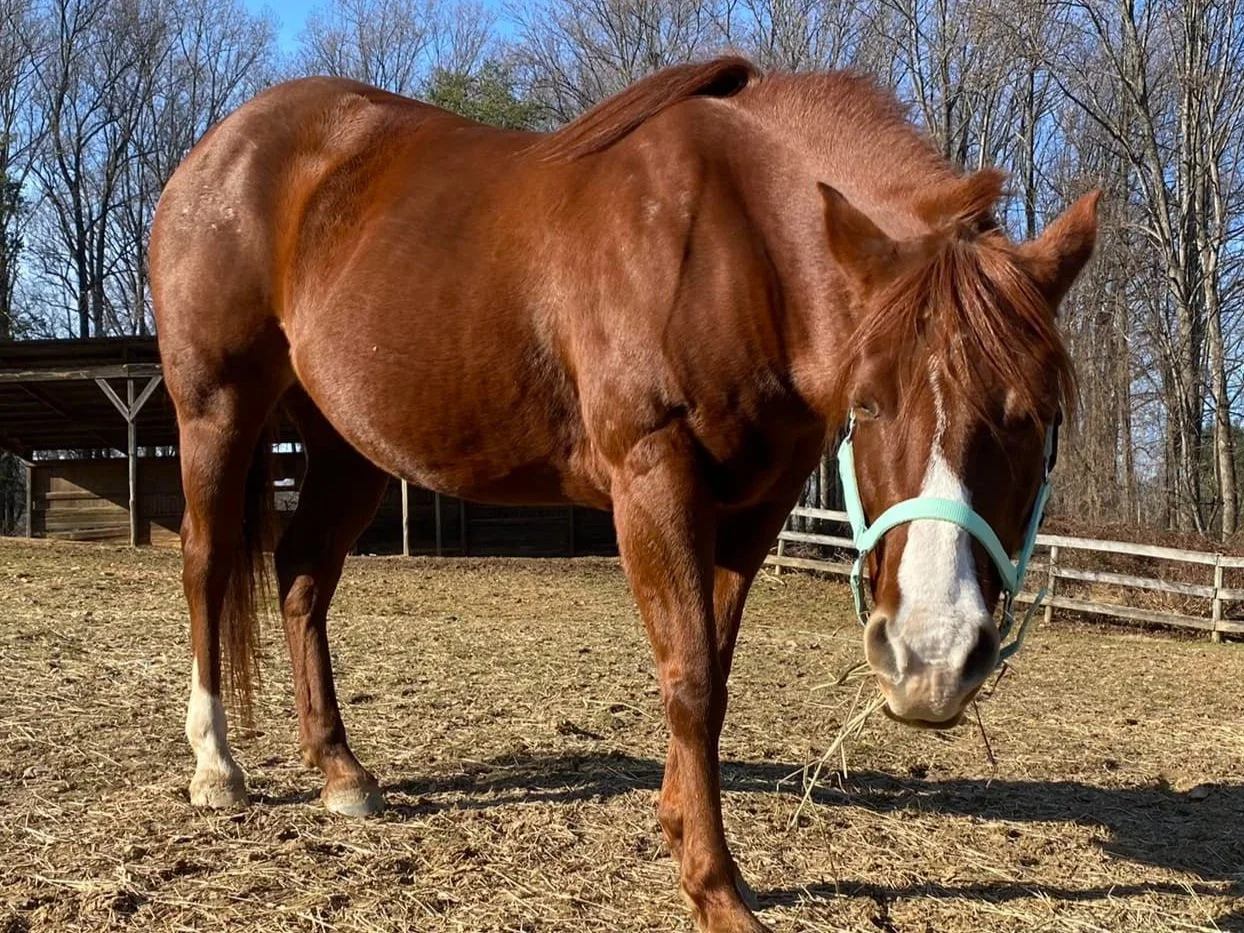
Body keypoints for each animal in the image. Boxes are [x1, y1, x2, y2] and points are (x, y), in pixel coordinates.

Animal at [150, 56, 1097, 933]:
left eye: (1040, 415)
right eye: (869, 403)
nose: (933, 657)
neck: (737, 241)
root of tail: (217, 150)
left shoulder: (750, 509)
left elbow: (711, 675)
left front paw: (687, 838)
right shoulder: (654, 481)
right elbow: (689, 680)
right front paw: (715, 890)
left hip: (348, 449)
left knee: (302, 577)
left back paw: (339, 769)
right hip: (216, 410)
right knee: (206, 565)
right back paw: (216, 766)